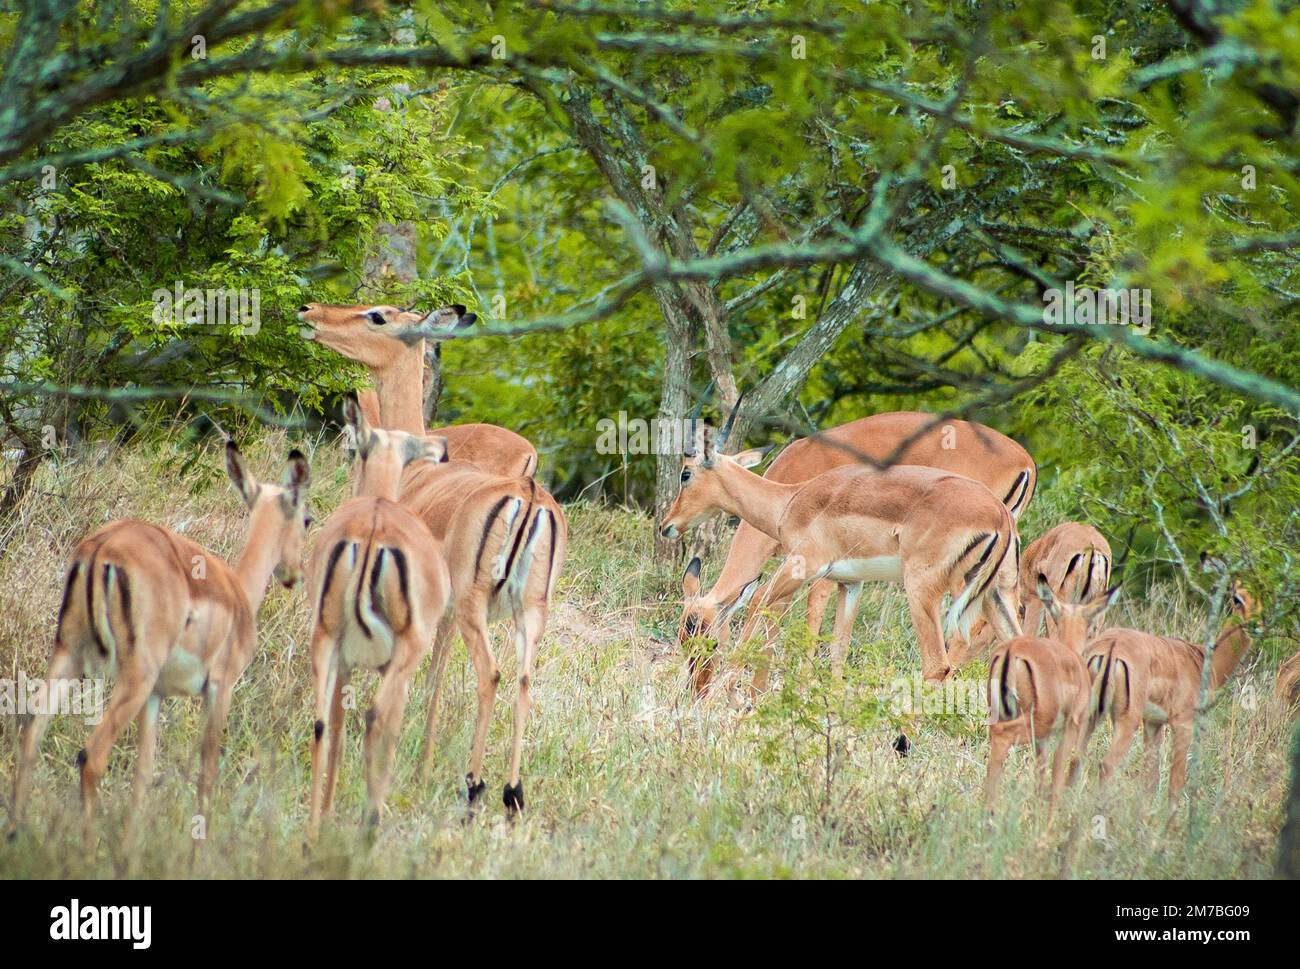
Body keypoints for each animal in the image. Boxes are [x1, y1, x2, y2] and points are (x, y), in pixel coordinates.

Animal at [10, 443, 310, 843]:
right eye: (307, 519)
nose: (296, 574)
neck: (238, 593)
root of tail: (100, 548)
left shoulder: (156, 696)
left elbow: (144, 773)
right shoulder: (220, 687)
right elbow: (207, 774)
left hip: (68, 656)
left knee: (31, 734)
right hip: (135, 675)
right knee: (92, 755)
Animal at [306, 401, 450, 838]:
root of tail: (371, 532)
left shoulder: (346, 662)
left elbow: (337, 731)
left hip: (325, 642)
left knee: (322, 726)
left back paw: (313, 834)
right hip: (406, 654)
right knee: (378, 718)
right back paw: (369, 826)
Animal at [677, 411, 1036, 696]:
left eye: (686, 473)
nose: (696, 689)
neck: (790, 498)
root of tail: (1000, 516)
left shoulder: (804, 568)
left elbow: (762, 606)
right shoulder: (849, 582)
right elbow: (838, 647)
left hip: (929, 590)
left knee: (939, 663)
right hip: (995, 593)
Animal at [985, 578, 1120, 811]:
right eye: (1092, 625)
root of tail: (1011, 651)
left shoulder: (1043, 741)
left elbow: (1041, 770)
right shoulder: (1071, 727)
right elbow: (1057, 771)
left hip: (1005, 715)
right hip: (1037, 720)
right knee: (1002, 735)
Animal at [1083, 580, 1259, 802]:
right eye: (1237, 598)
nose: (1255, 625)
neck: (1204, 661)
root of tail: (1111, 646)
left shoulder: (1153, 723)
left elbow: (1151, 780)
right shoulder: (1183, 724)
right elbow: (1175, 783)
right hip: (1126, 719)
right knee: (1107, 764)